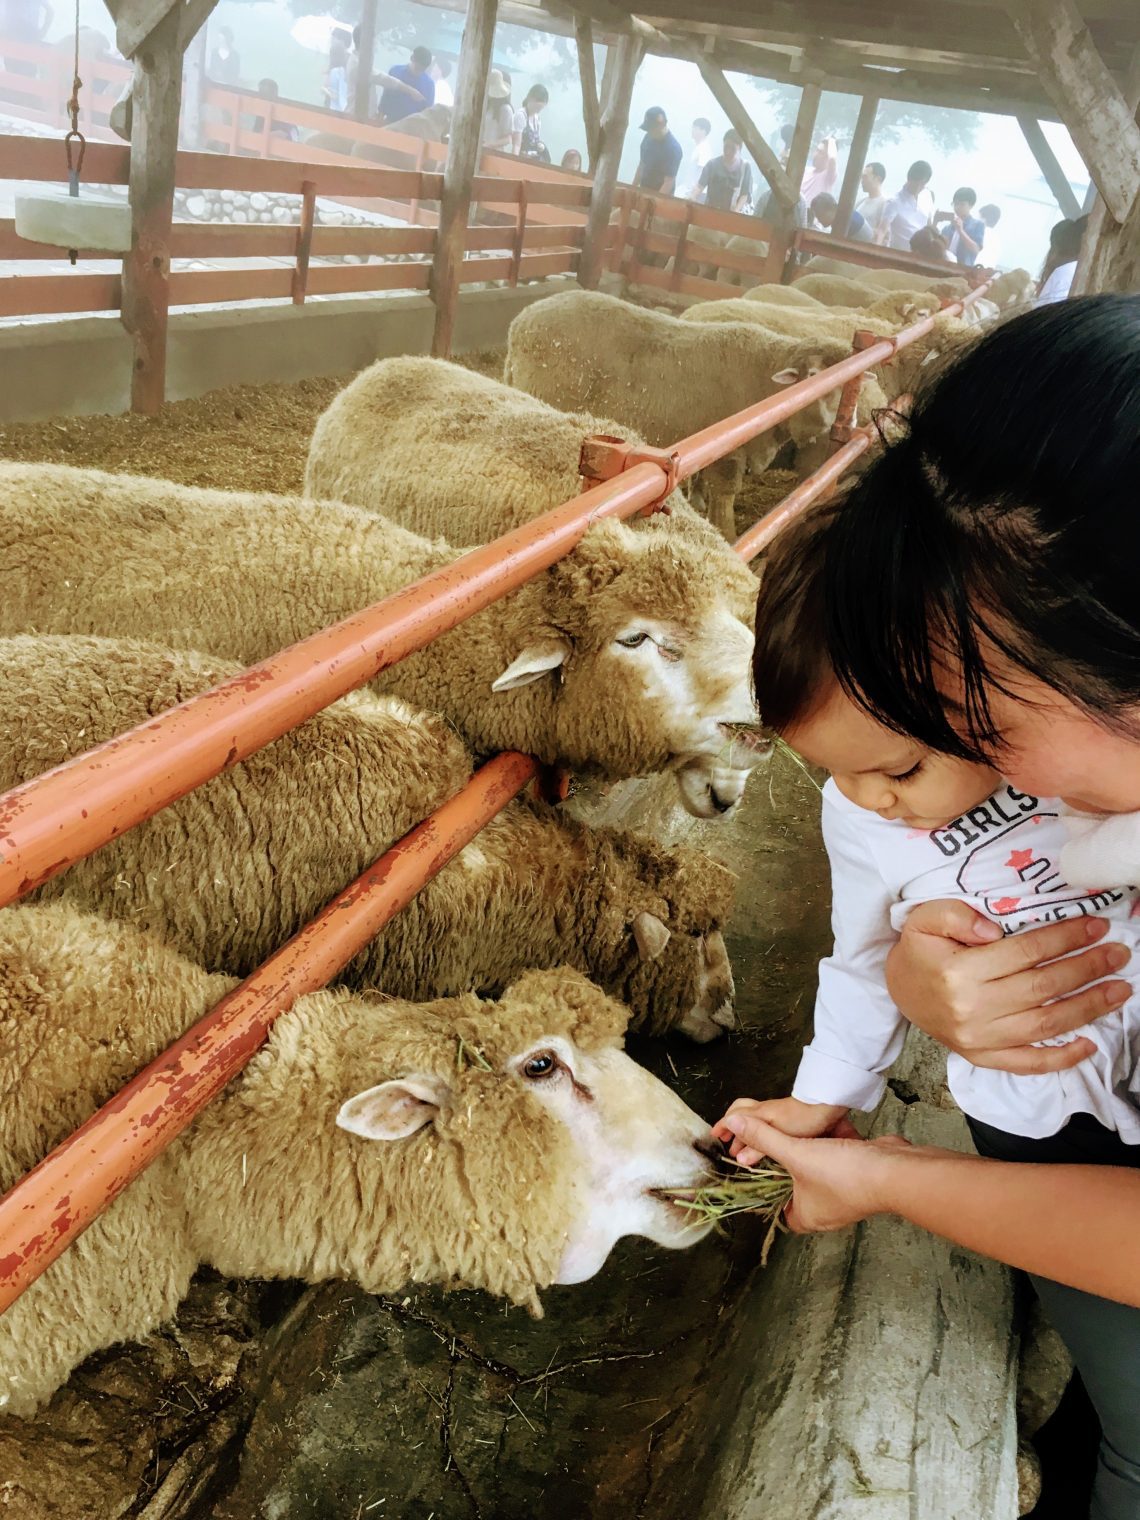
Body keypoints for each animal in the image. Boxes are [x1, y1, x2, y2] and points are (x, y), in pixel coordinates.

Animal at [504, 288, 854, 539]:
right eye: (813, 376)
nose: (828, 424)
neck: (765, 379)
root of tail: (521, 323)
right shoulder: (728, 452)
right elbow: (724, 495)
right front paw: (727, 533)